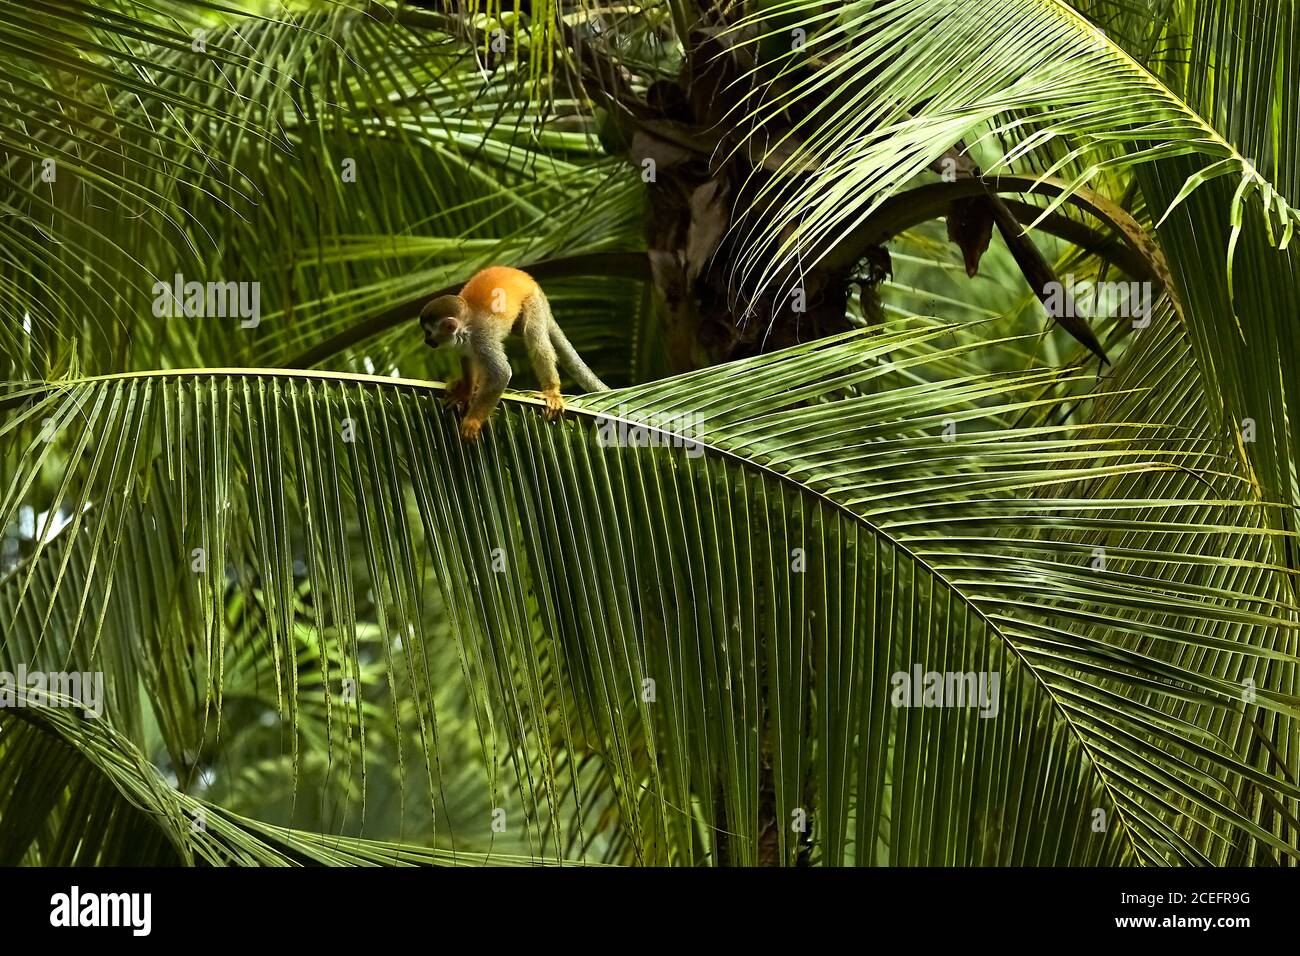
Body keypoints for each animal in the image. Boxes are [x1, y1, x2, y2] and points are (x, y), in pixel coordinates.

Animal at [420, 266, 610, 443]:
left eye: (428, 332)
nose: (426, 341)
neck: (465, 328)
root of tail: (528, 278)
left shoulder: (481, 338)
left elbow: (501, 373)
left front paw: (472, 421)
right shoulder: (464, 343)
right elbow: (467, 358)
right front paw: (465, 391)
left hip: (533, 301)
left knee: (536, 340)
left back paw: (552, 391)